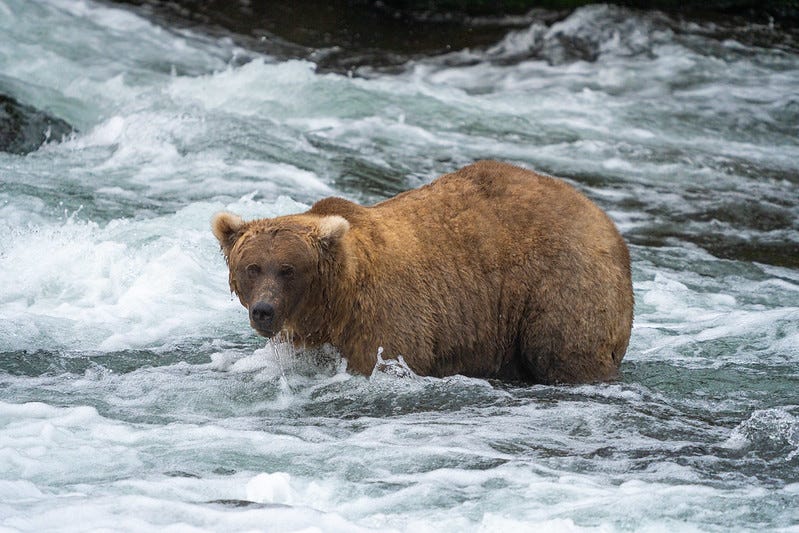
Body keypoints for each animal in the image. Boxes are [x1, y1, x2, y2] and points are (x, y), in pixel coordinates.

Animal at [212, 160, 633, 384]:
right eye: (252, 268)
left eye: (288, 269)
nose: (264, 311)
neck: (334, 304)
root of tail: (604, 219)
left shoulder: (385, 319)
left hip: (561, 284)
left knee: (562, 351)